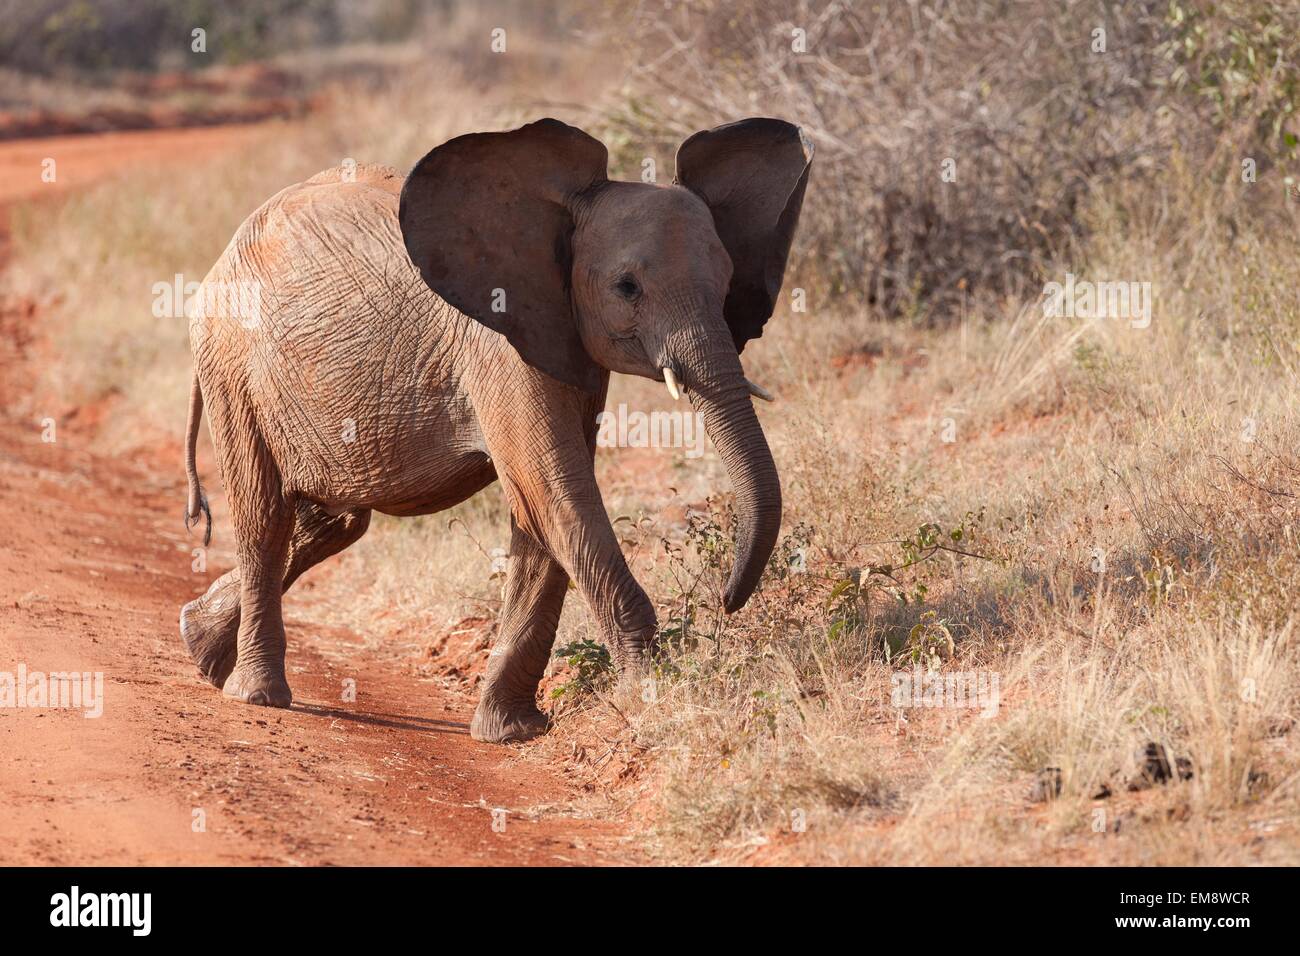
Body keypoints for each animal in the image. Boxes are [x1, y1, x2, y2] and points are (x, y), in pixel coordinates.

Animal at [178, 116, 812, 743]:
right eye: (627, 287)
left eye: (728, 284)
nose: (727, 599)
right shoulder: (500, 344)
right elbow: (556, 494)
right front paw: (656, 697)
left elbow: (539, 514)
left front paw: (510, 731)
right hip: (232, 363)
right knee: (265, 515)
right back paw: (256, 694)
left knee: (332, 521)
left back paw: (200, 644)